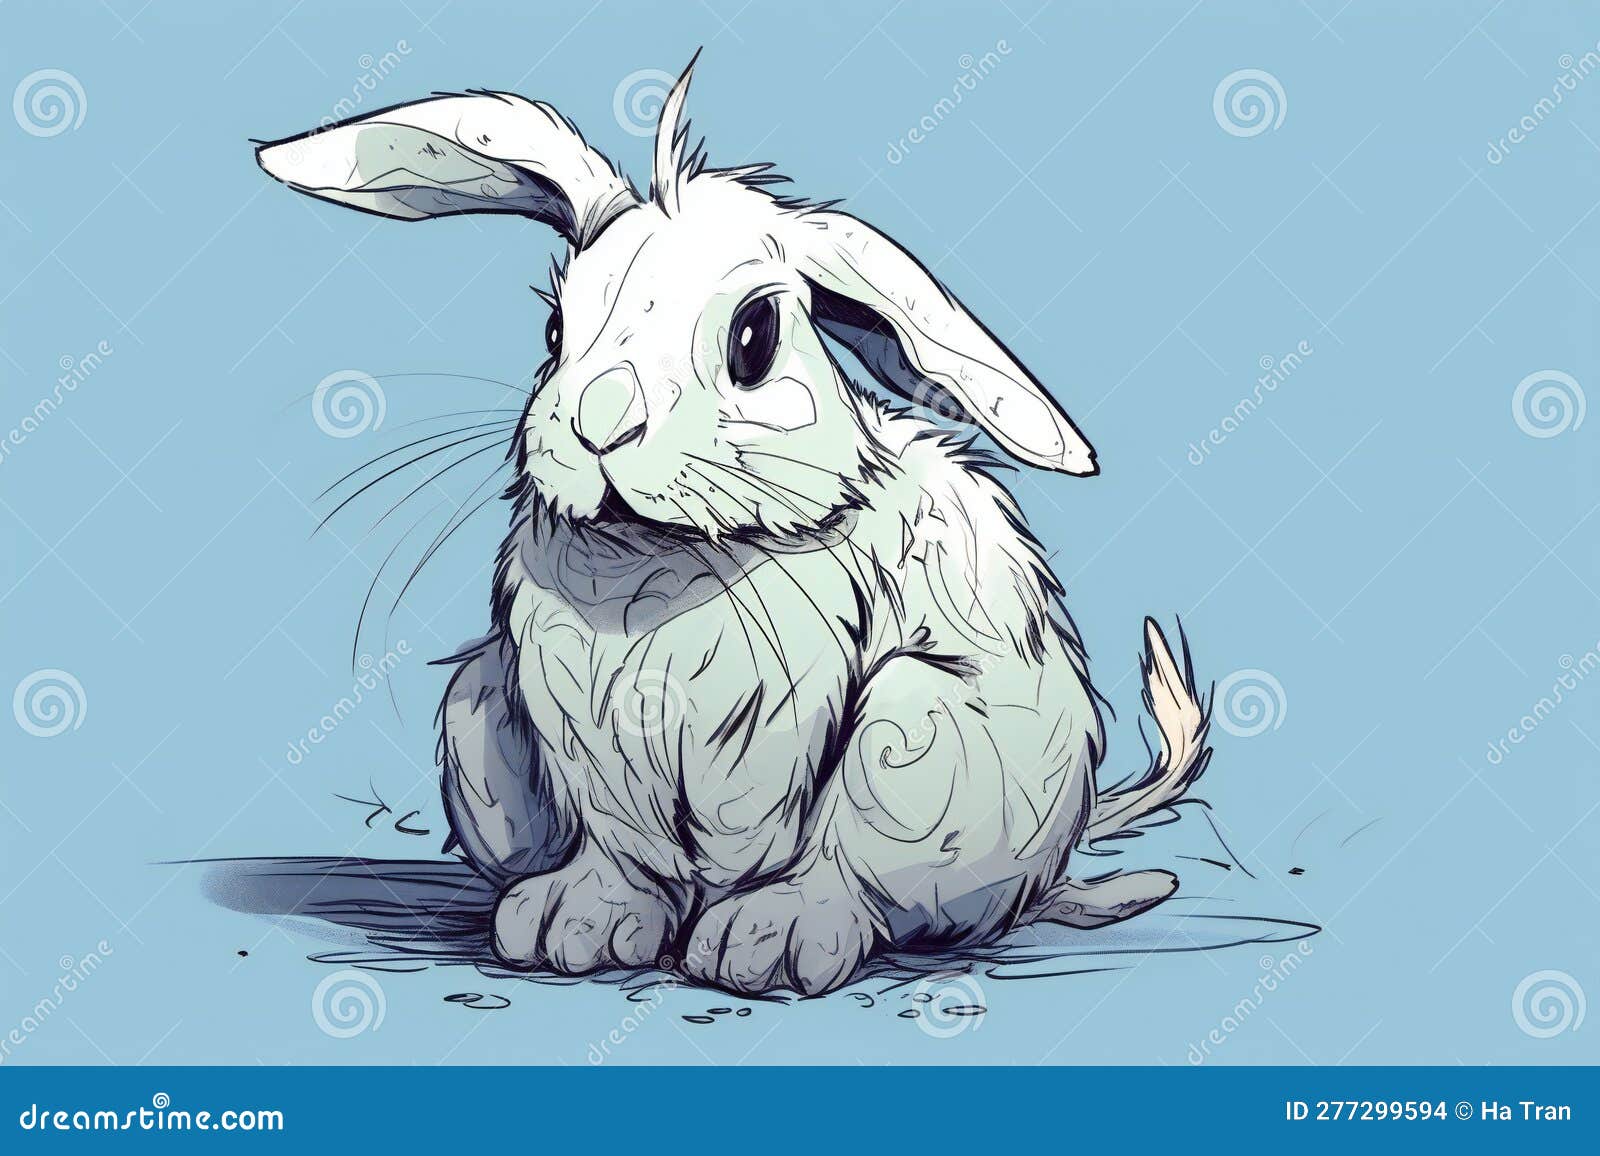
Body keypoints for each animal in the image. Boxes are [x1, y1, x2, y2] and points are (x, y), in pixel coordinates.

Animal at [255, 57, 1212, 996]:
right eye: (555, 328)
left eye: (755, 337)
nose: (599, 426)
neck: (668, 558)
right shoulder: (596, 753)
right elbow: (622, 859)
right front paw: (575, 929)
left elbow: (831, 854)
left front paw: (765, 948)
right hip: (475, 700)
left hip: (919, 725)